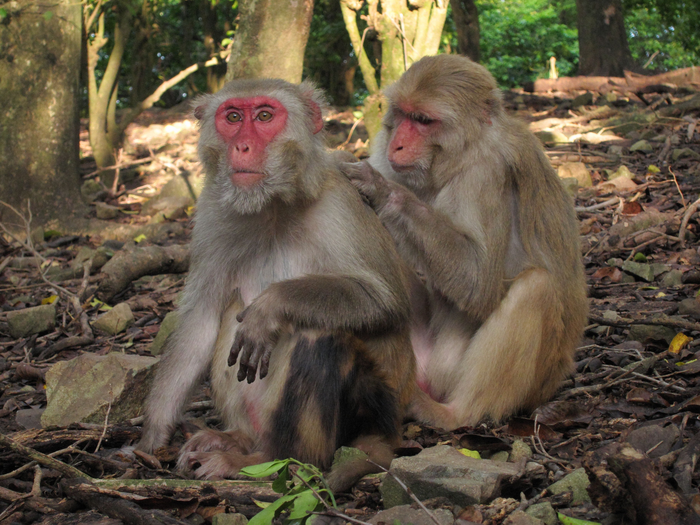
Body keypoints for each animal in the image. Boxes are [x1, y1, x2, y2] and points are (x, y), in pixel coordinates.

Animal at [139, 79, 418, 492]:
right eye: (233, 117)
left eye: (265, 116)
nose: (242, 146)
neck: (272, 206)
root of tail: (392, 431)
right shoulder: (212, 210)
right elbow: (202, 320)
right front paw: (152, 436)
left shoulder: (340, 205)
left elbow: (386, 303)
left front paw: (270, 306)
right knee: (232, 312)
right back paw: (236, 439)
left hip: (373, 408)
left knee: (318, 333)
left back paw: (268, 461)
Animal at [342, 54, 588, 430]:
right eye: (402, 114)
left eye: (423, 120)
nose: (396, 143)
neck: (462, 153)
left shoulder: (486, 174)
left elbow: (479, 282)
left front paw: (382, 190)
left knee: (537, 287)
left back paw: (456, 414)